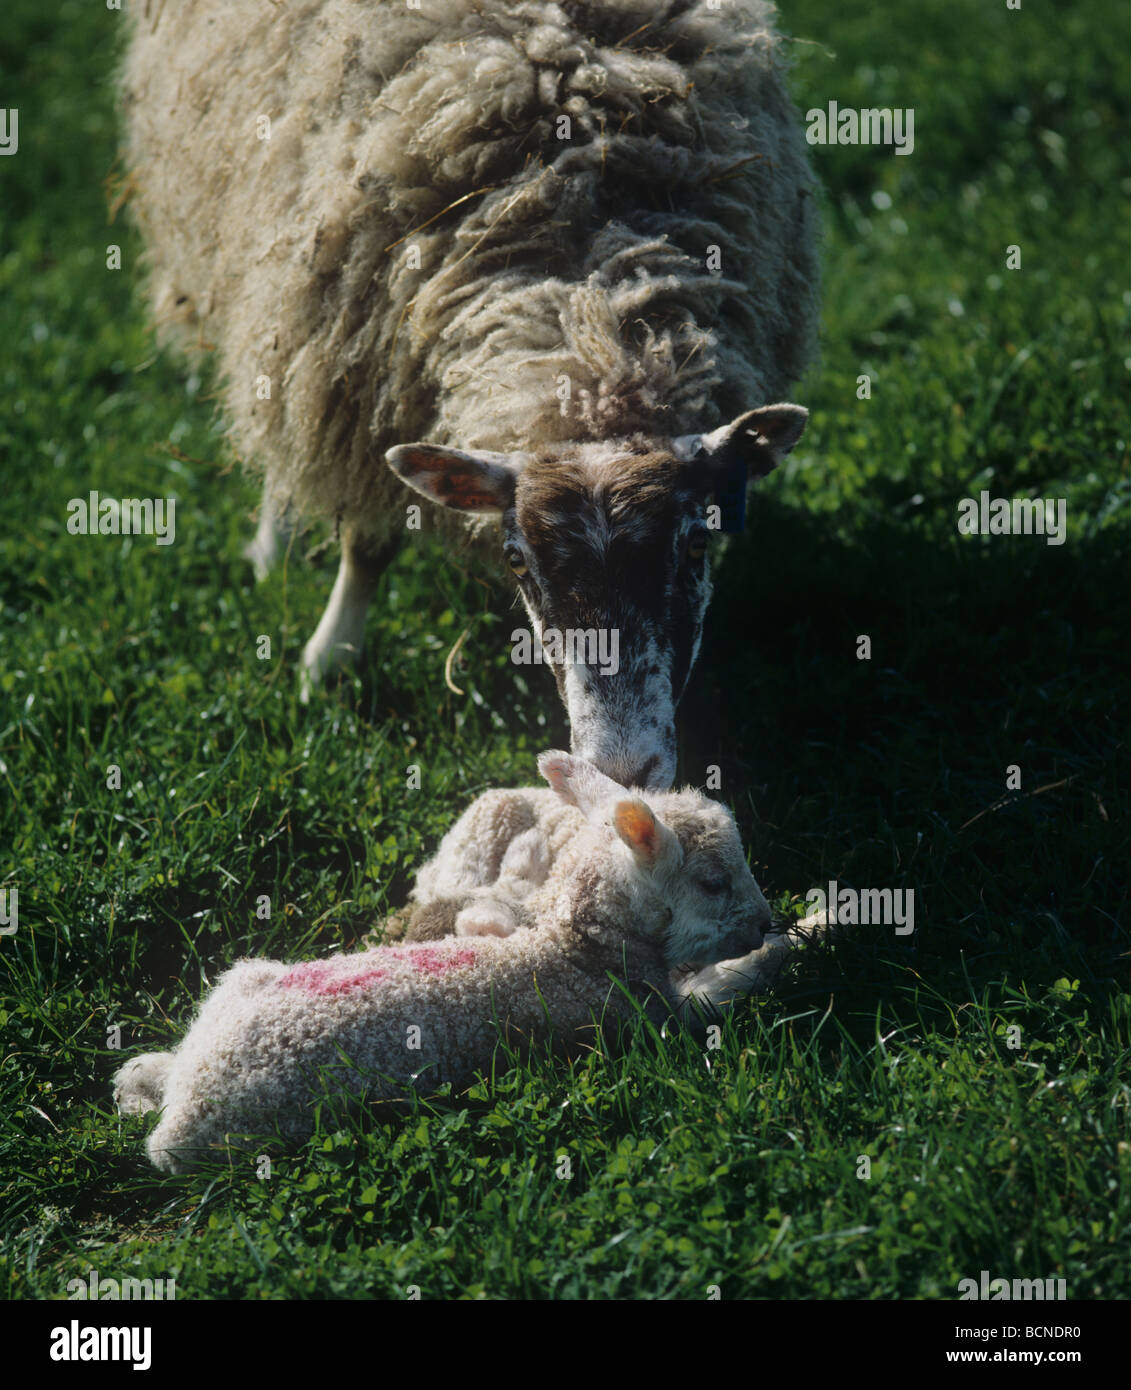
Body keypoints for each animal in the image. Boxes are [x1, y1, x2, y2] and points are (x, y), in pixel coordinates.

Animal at [113, 750, 771, 1172]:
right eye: (713, 883)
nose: (765, 922)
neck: (574, 949)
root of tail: (182, 1116)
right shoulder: (649, 1023)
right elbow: (714, 999)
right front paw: (777, 951)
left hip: (242, 979)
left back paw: (141, 1073)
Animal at [120, 0, 820, 788]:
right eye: (517, 562)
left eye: (699, 543)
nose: (620, 771)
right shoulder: (361, 375)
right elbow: (368, 541)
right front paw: (327, 661)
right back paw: (275, 538)